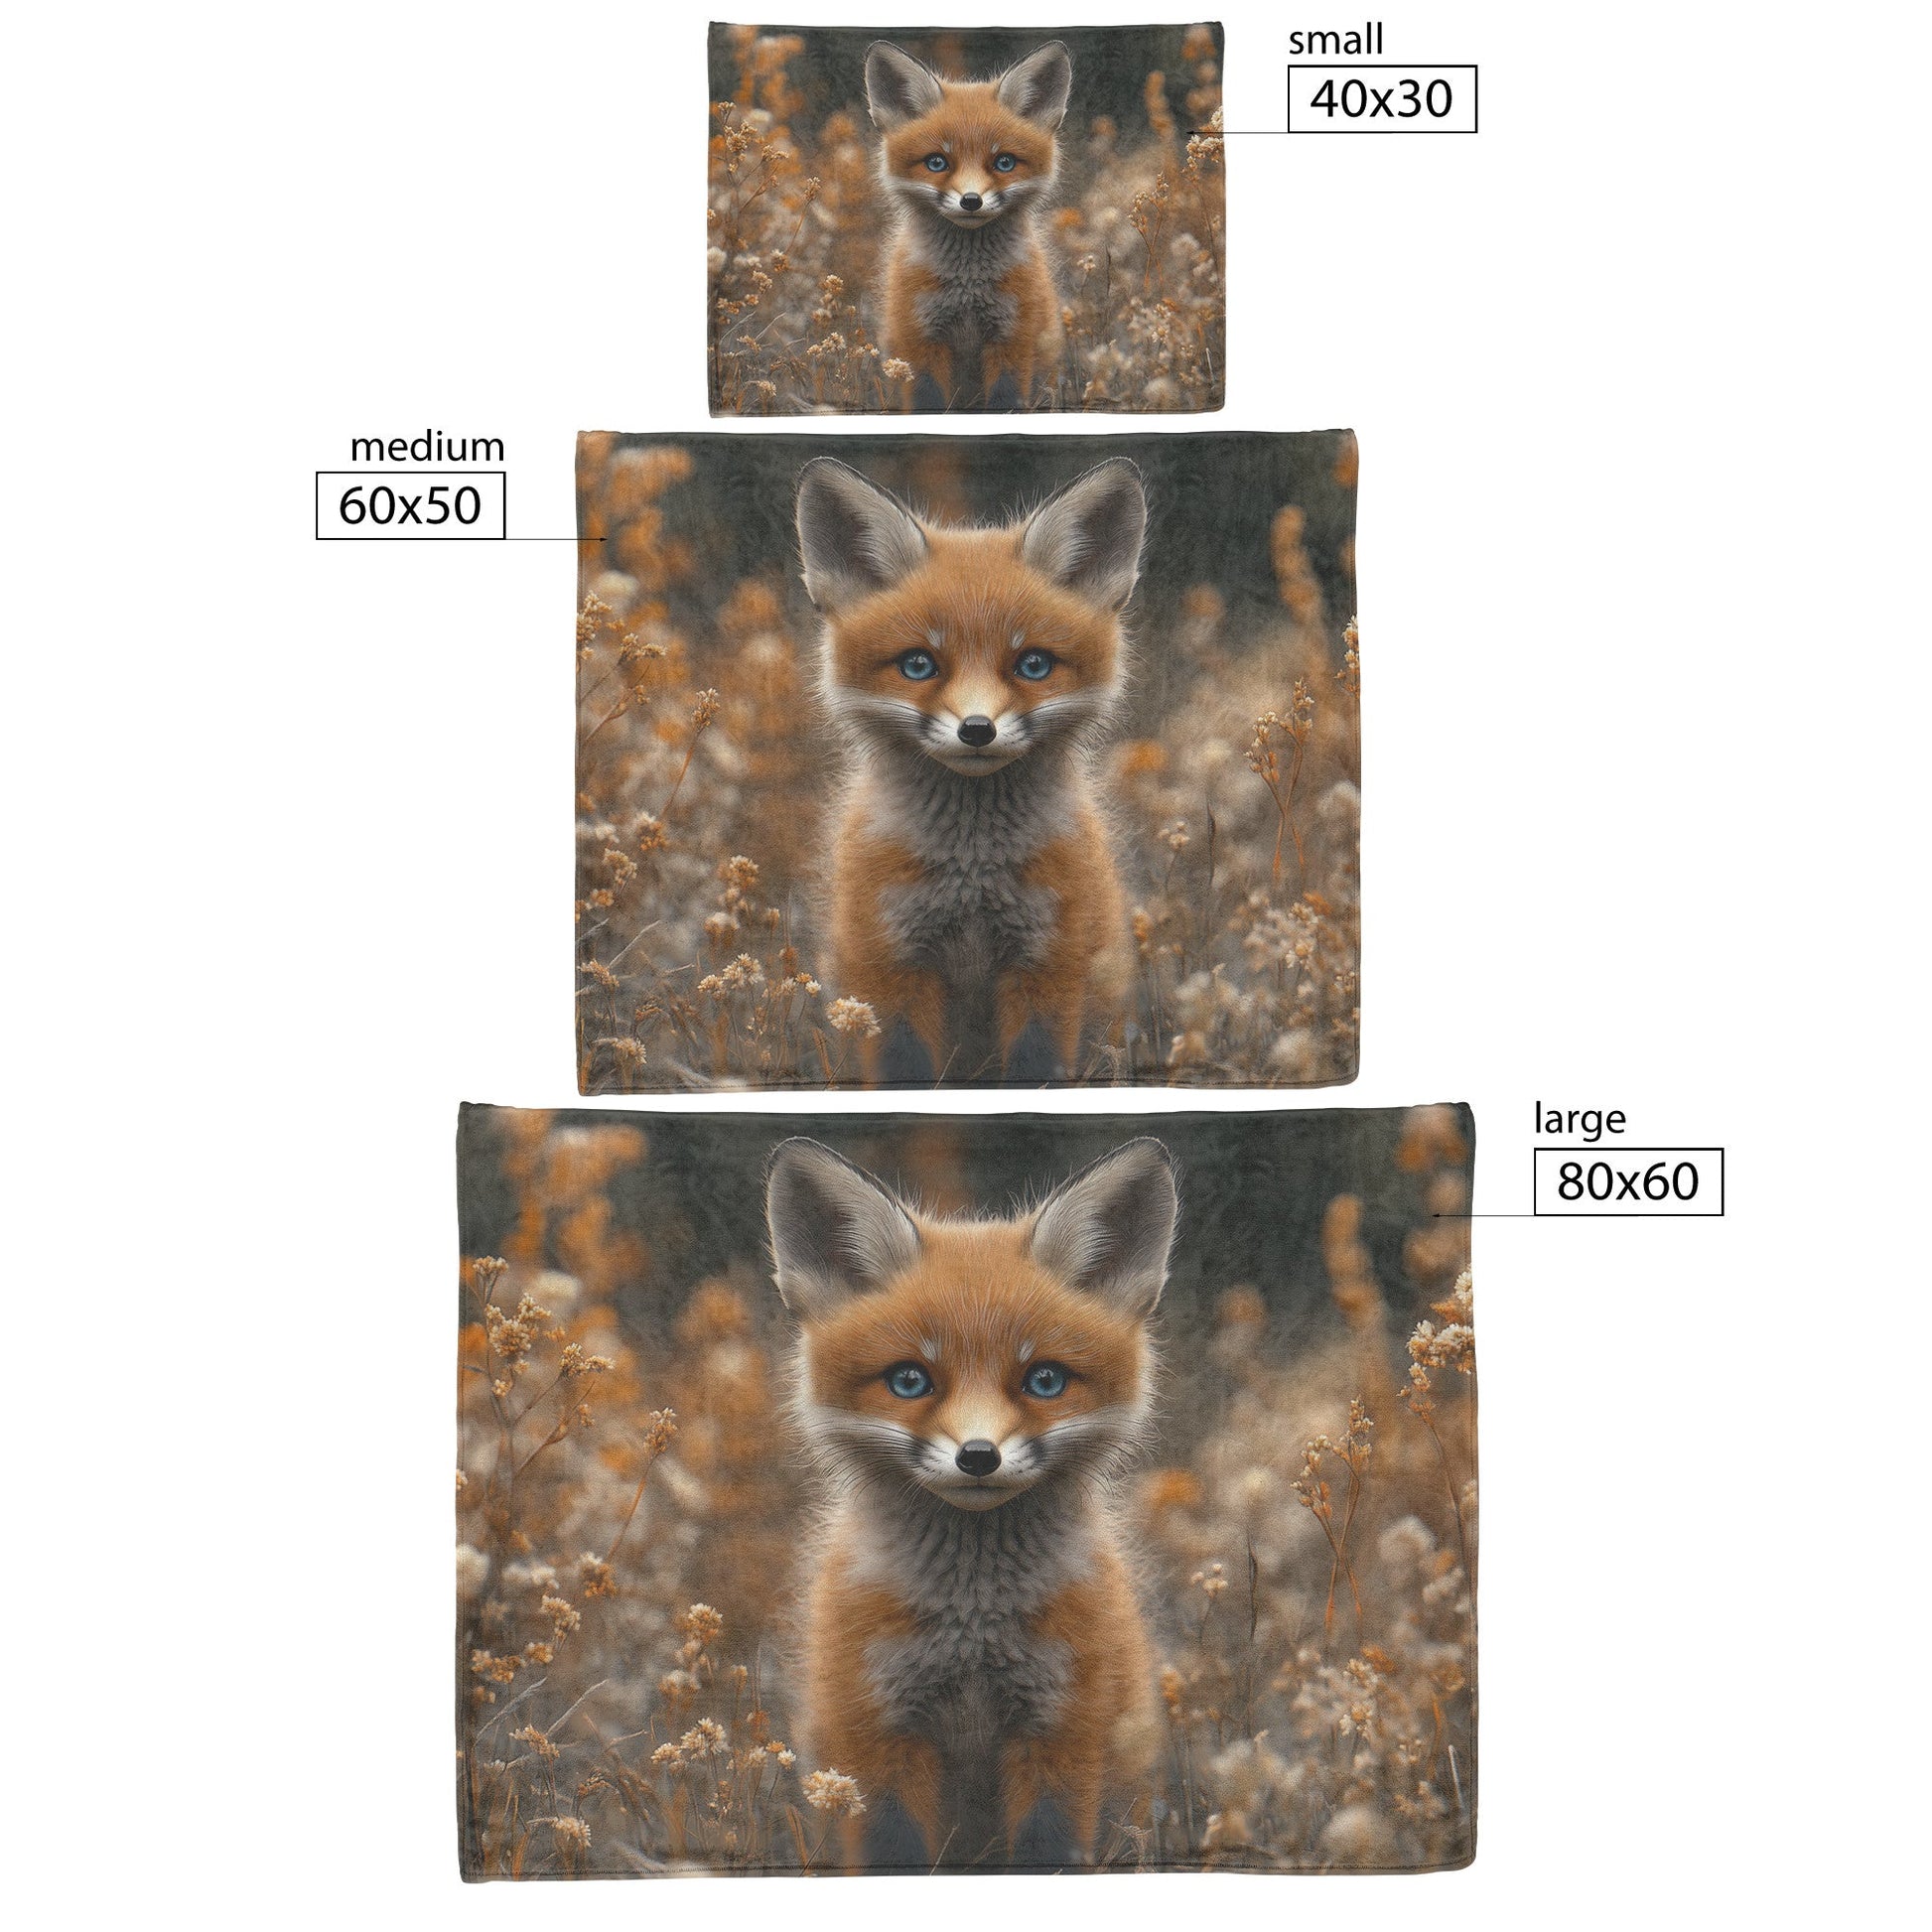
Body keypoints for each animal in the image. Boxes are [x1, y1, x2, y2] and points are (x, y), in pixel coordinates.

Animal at [765, 1133, 1179, 1870]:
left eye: (1044, 1380)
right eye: (909, 1380)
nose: (979, 1456)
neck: (973, 1622)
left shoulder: (1062, 1731)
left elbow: (1049, 1850)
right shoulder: (877, 1733)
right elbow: (891, 1850)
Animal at [794, 454, 1147, 1086]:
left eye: (1033, 664)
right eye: (918, 664)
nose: (977, 729)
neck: (972, 870)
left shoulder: (1048, 964)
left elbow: (1037, 1067)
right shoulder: (890, 965)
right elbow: (903, 1065)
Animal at [864, 39, 1072, 410]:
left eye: (1004, 162)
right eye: (937, 162)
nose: (971, 201)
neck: (968, 285)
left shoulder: (1012, 337)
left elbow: (1006, 401)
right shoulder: (920, 338)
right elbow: (927, 402)